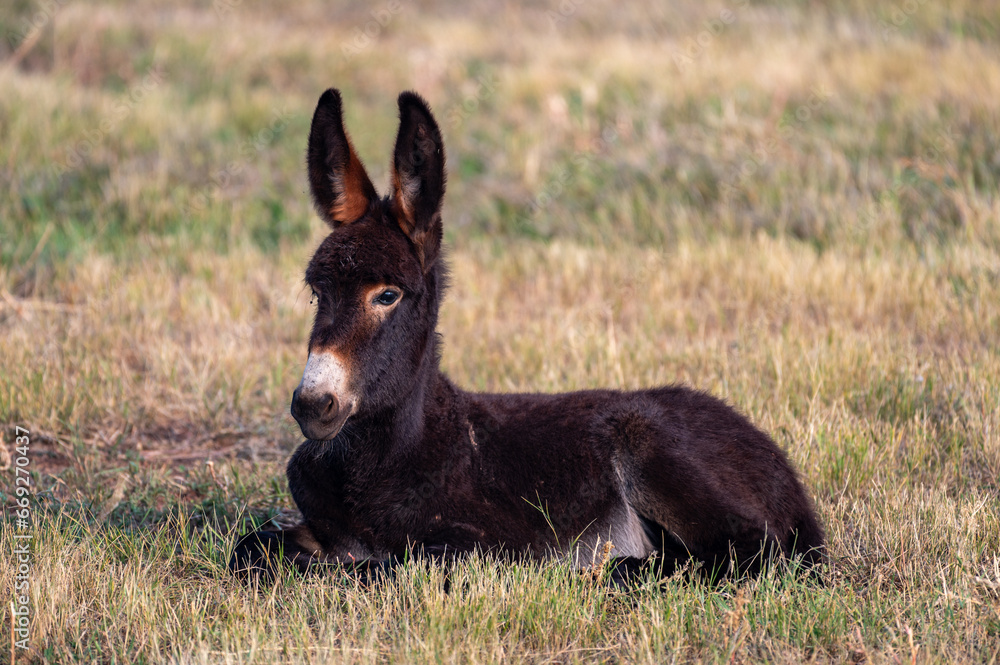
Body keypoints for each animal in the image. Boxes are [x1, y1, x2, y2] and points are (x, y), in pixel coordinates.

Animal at [229, 89, 825, 586]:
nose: (313, 404)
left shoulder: (485, 544)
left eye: (388, 295)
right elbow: (254, 547)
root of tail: (775, 459)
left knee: (754, 552)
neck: (384, 459)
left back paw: (613, 570)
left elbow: (392, 567)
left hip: (658, 453)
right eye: (316, 291)